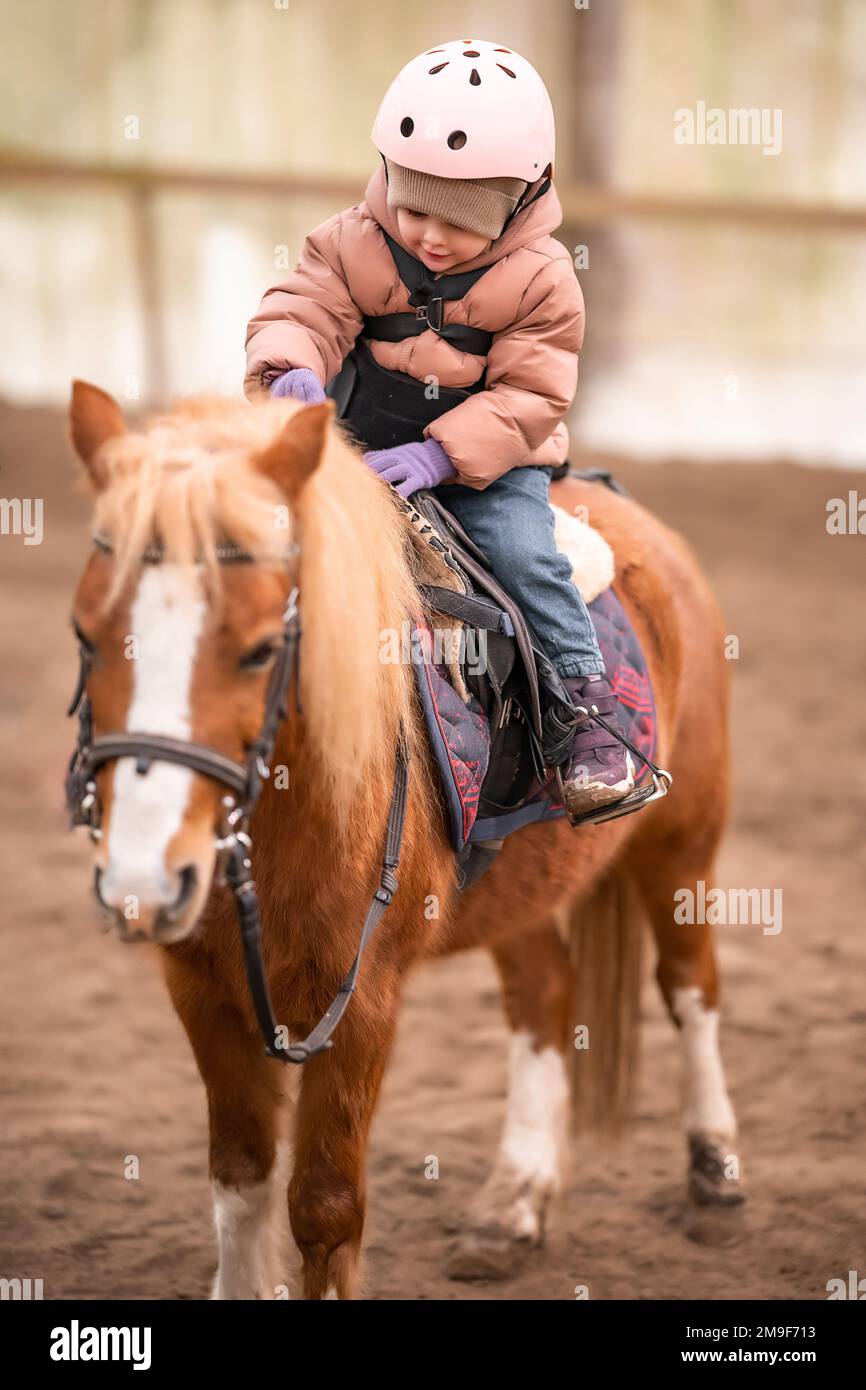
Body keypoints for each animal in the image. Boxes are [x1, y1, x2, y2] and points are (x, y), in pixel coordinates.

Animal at [66, 380, 744, 1300]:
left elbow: (323, 1207)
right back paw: (513, 1207)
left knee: (689, 987)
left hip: (683, 841)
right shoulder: (201, 989)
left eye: (262, 649)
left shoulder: (363, 999)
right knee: (545, 994)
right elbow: (240, 1182)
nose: (142, 878)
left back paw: (716, 1174)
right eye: (85, 634)